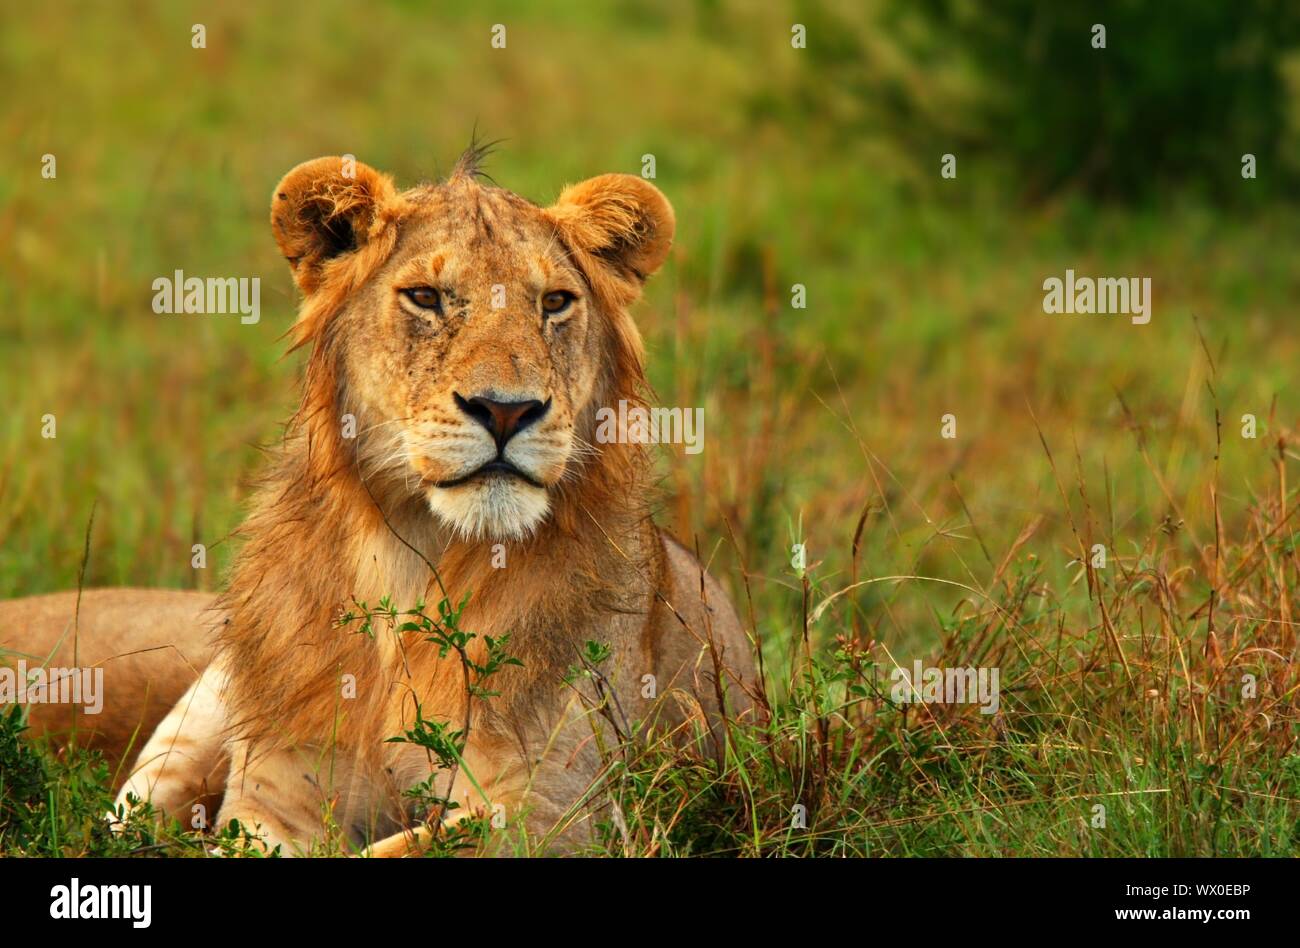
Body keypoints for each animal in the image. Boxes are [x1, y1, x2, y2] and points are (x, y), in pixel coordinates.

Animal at [2, 149, 758, 856]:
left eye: (554, 303)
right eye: (425, 297)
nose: (506, 410)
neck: (415, 560)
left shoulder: (557, 814)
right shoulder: (273, 800)